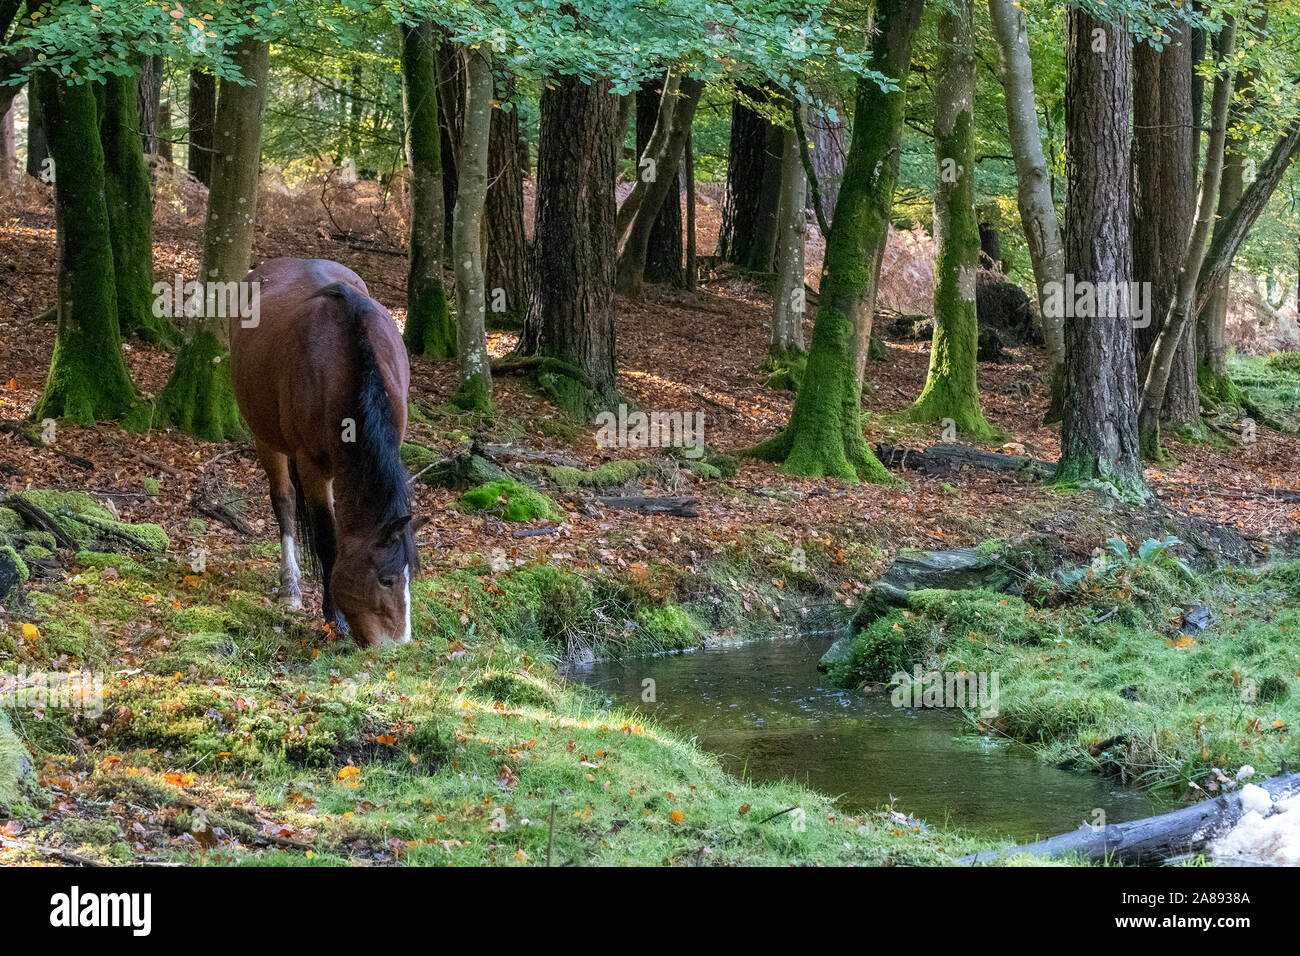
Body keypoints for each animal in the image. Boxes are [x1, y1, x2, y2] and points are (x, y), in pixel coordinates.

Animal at [229, 257, 425, 646]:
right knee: (285, 502)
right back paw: (290, 587)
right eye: (386, 579)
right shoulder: (311, 464)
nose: (398, 644)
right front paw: (334, 618)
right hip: (266, 438)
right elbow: (327, 540)